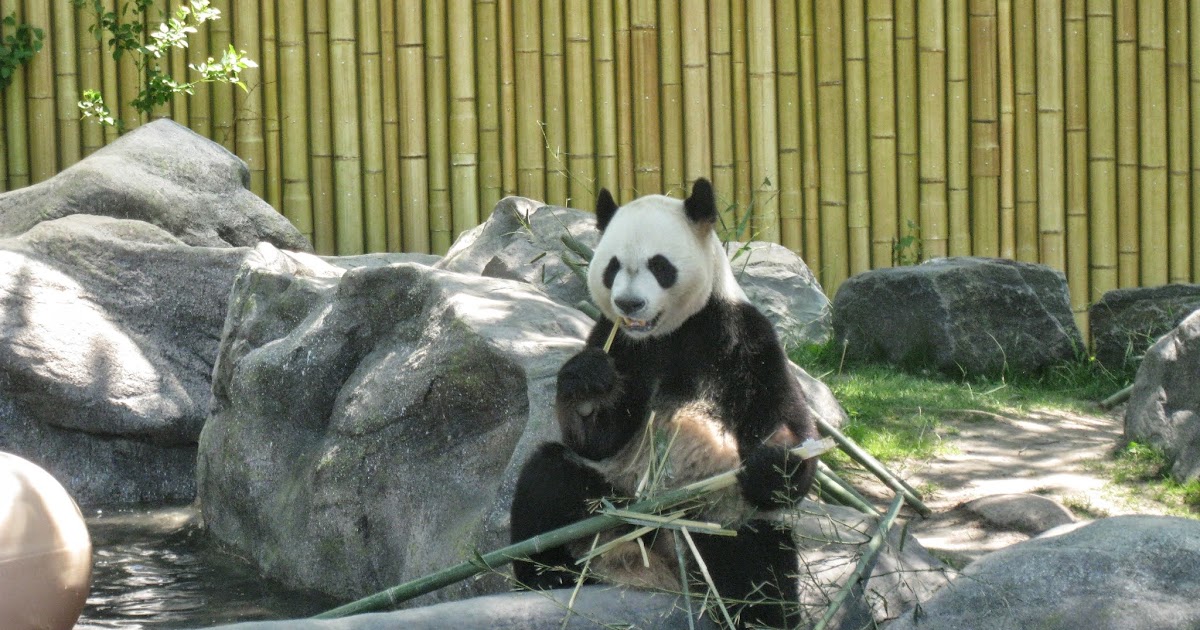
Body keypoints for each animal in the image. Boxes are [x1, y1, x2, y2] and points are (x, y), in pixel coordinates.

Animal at [510, 178, 820, 628]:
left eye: (659, 265)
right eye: (612, 267)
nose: (629, 304)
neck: (669, 332)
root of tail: (657, 555)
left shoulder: (745, 337)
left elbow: (788, 431)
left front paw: (772, 458)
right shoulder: (620, 344)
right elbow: (598, 440)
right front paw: (587, 385)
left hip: (720, 519)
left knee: (759, 568)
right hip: (614, 501)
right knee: (548, 482)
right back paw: (545, 579)